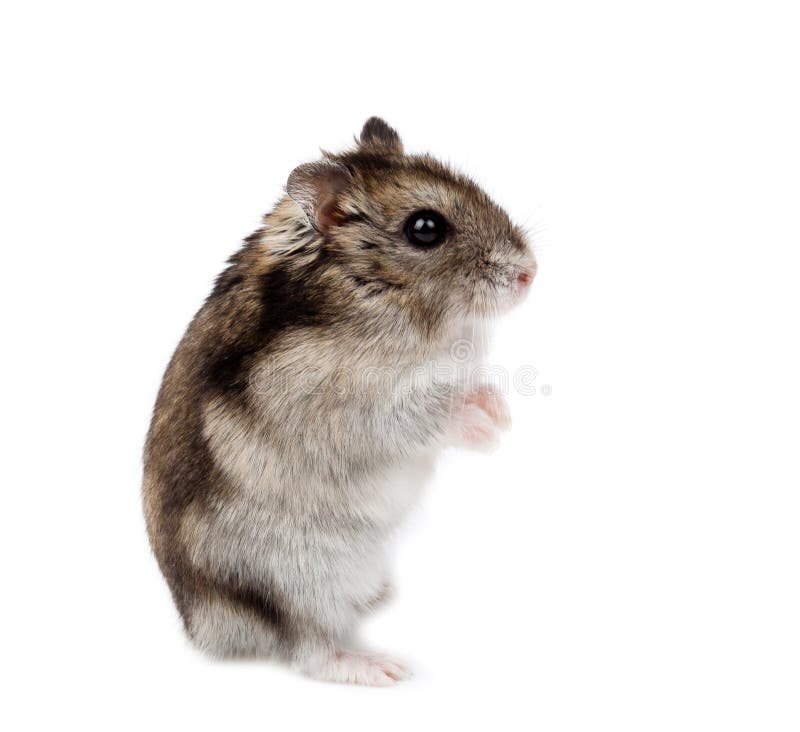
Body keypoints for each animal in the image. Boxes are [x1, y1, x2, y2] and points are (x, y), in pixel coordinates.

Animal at [143, 117, 536, 686]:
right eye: (425, 229)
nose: (531, 272)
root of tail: (200, 626)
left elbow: (472, 387)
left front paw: (502, 413)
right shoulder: (340, 407)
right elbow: (426, 412)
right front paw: (489, 433)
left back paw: (380, 593)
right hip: (299, 576)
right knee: (308, 647)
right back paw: (382, 668)